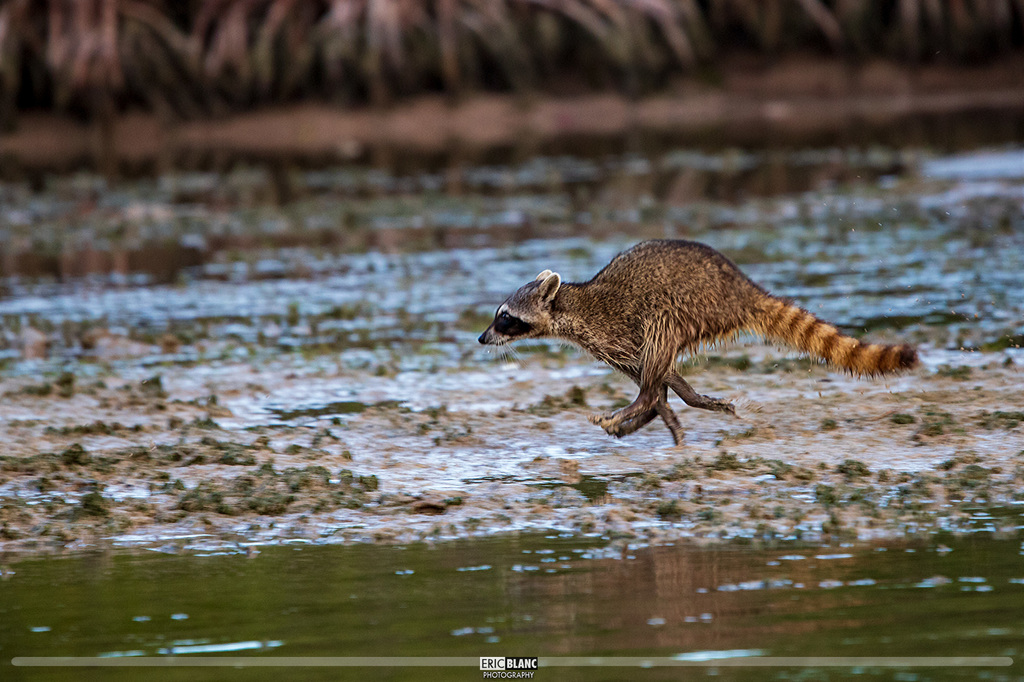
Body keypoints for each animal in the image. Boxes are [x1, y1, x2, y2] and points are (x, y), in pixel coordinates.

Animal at [478, 239, 918, 445]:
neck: (572, 304)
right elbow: (662, 381)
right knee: (663, 371)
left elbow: (653, 380)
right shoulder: (613, 347)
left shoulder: (615, 329)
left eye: (505, 317)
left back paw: (637, 408)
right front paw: (666, 411)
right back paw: (683, 404)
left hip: (686, 305)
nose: (482, 337)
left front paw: (644, 409)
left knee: (660, 338)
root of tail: (741, 289)